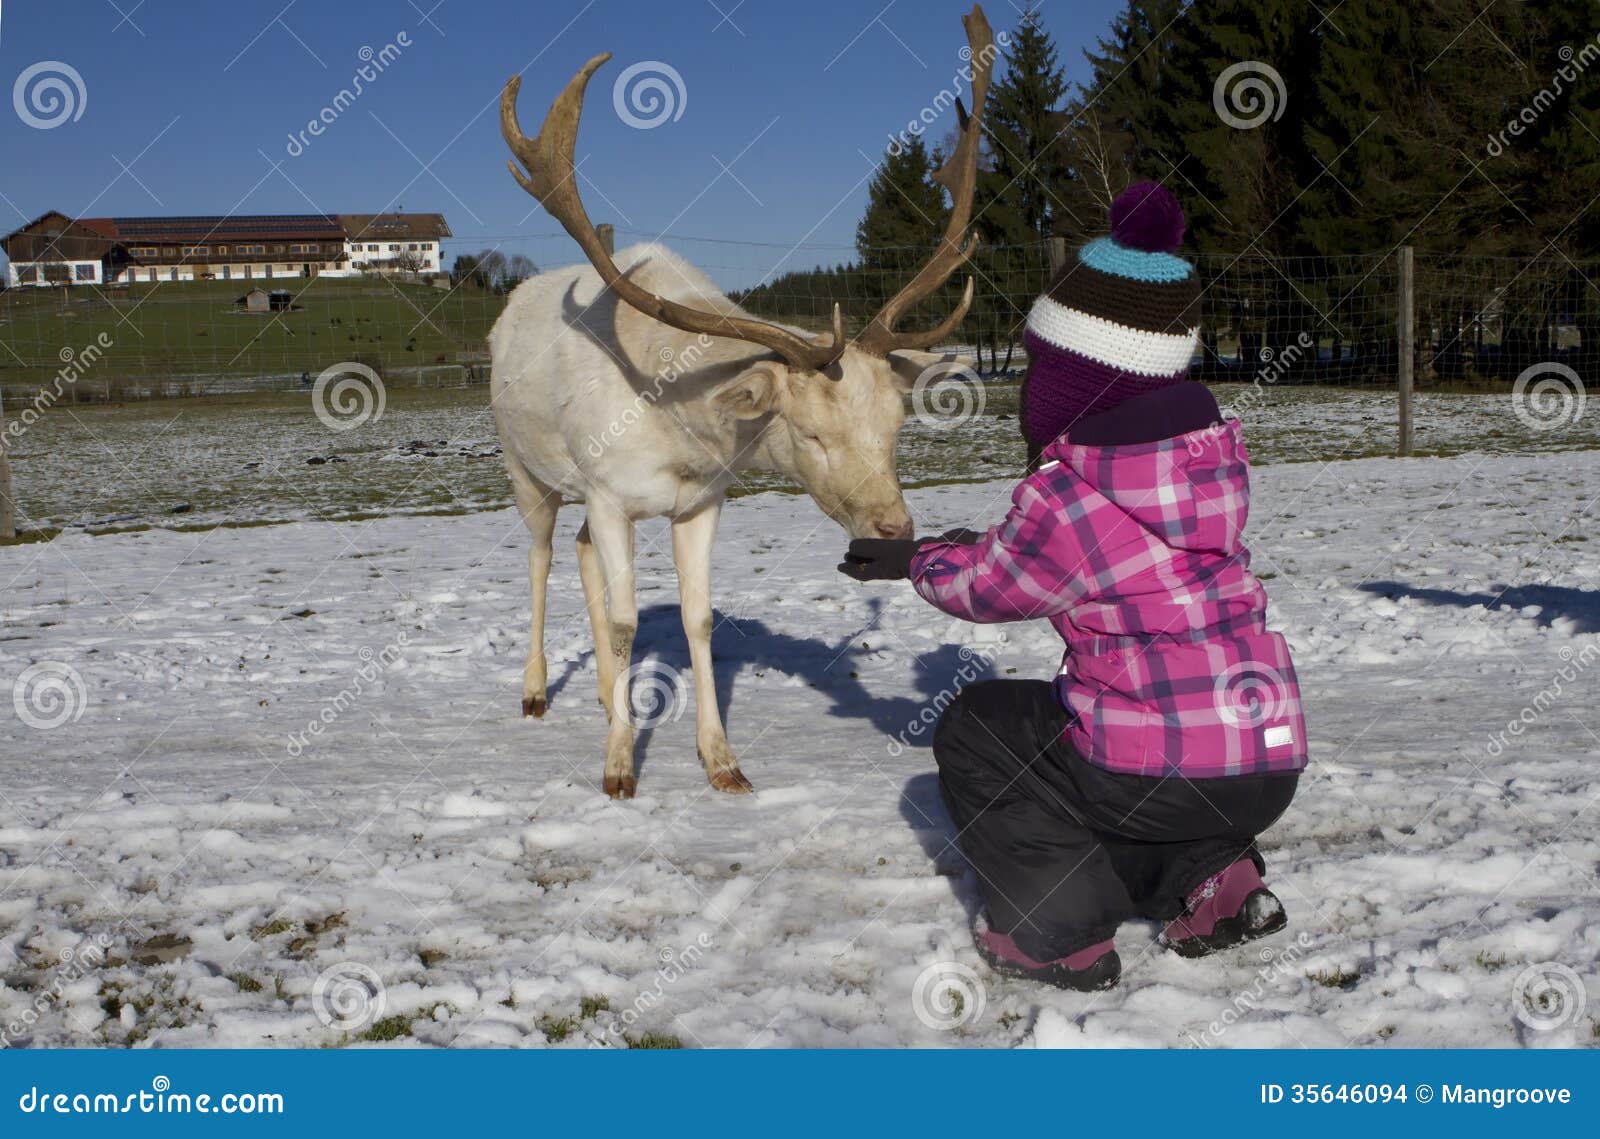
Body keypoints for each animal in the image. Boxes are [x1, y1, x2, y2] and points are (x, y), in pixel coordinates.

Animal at [490, 5, 994, 798]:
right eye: (810, 433)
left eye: (896, 426)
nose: (895, 528)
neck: (677, 428)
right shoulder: (606, 490)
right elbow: (630, 623)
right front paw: (618, 769)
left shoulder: (702, 499)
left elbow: (696, 619)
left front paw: (722, 762)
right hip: (525, 467)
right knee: (541, 555)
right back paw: (537, 691)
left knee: (578, 552)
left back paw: (604, 694)